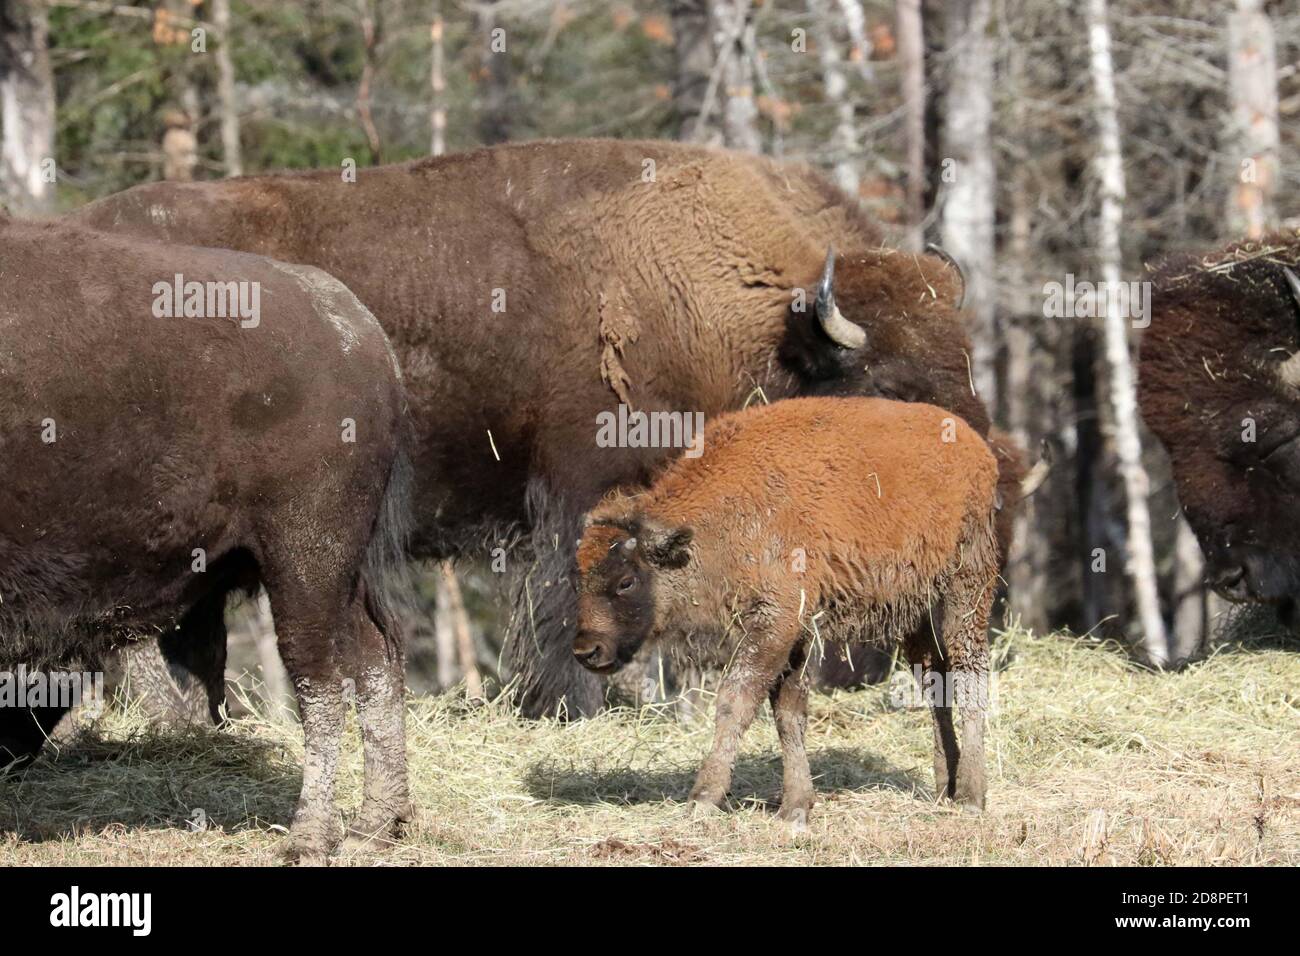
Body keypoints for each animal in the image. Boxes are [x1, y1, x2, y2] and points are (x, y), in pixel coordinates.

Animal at [0, 216, 411, 863]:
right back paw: (375, 824)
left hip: (305, 557)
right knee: (375, 656)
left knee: (320, 675)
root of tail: (355, 324)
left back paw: (310, 837)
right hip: (338, 566)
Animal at [72, 138, 1001, 717]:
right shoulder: (581, 494)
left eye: (966, 363)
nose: (979, 480)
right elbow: (568, 608)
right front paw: (572, 707)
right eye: (890, 386)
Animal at [574, 397, 1001, 820]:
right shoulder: (794, 634)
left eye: (626, 581)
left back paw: (971, 797)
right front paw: (796, 807)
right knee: (933, 675)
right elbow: (788, 713)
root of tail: (976, 447)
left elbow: (736, 700)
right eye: (580, 574)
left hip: (968, 585)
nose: (586, 650)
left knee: (970, 673)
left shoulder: (774, 624)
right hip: (913, 608)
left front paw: (703, 798)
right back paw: (946, 785)